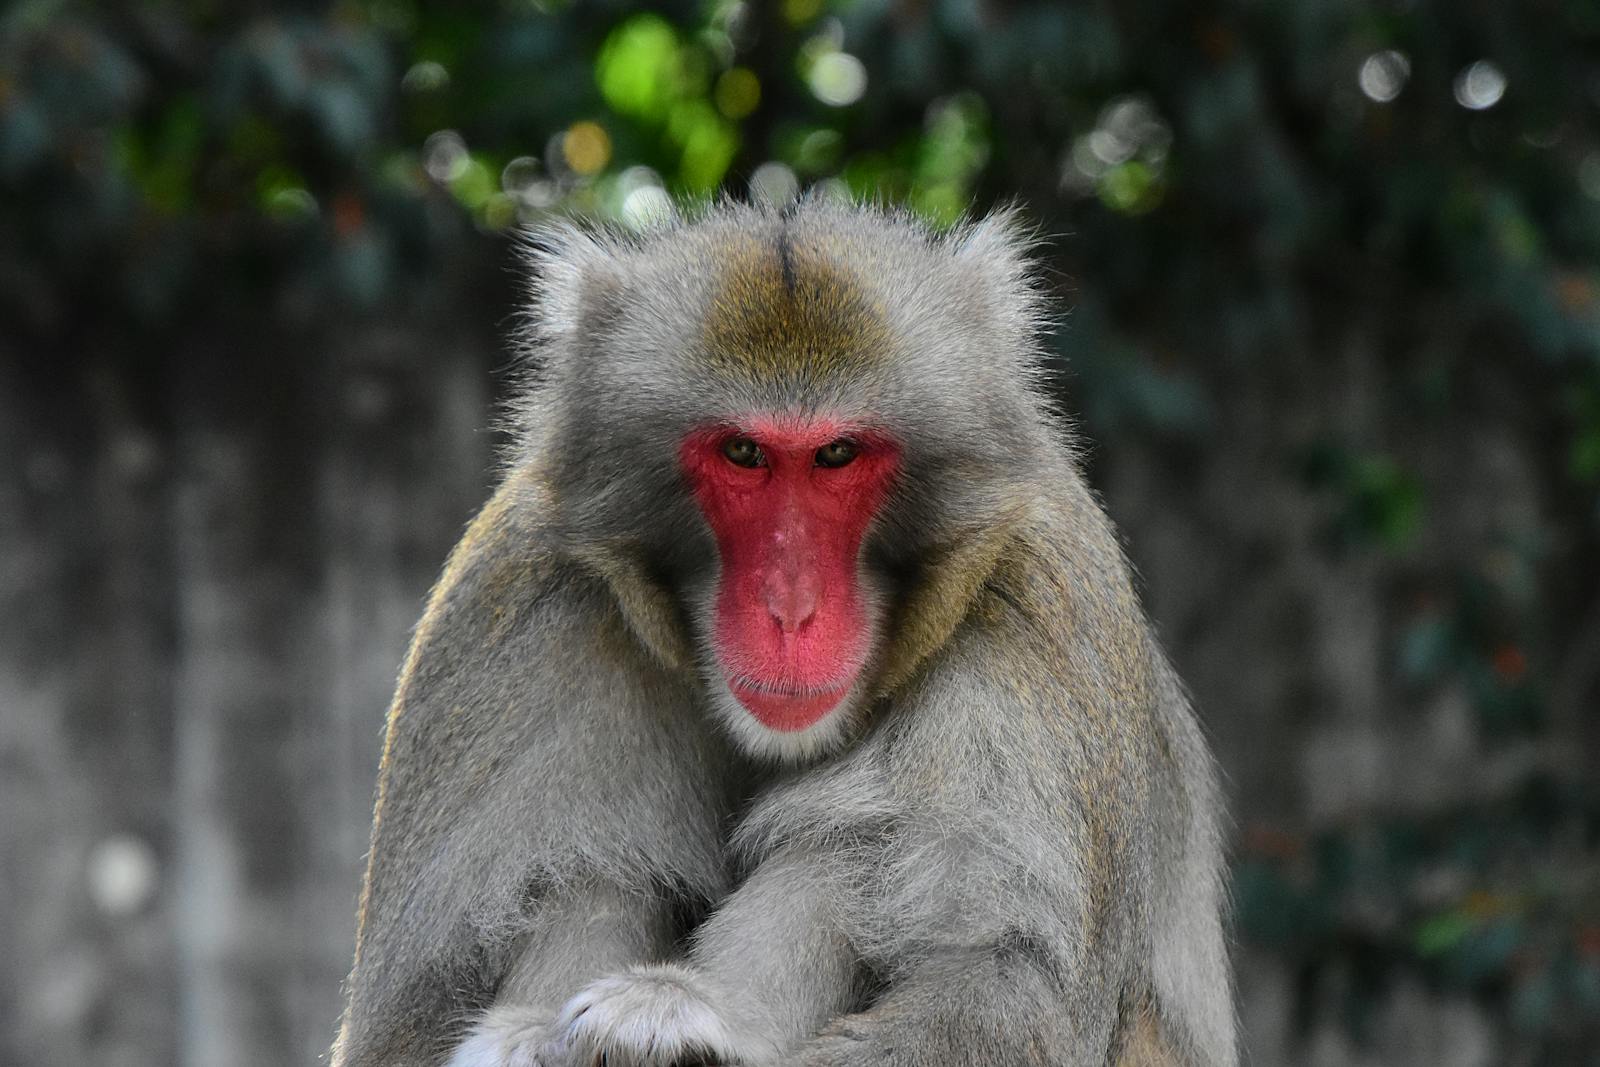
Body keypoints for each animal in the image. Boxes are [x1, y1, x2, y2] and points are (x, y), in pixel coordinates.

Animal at [329, 198, 1236, 1067]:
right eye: (743, 453)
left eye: (836, 454)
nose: (791, 608)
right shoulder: (516, 596)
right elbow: (408, 1019)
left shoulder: (1039, 600)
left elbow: (1007, 991)